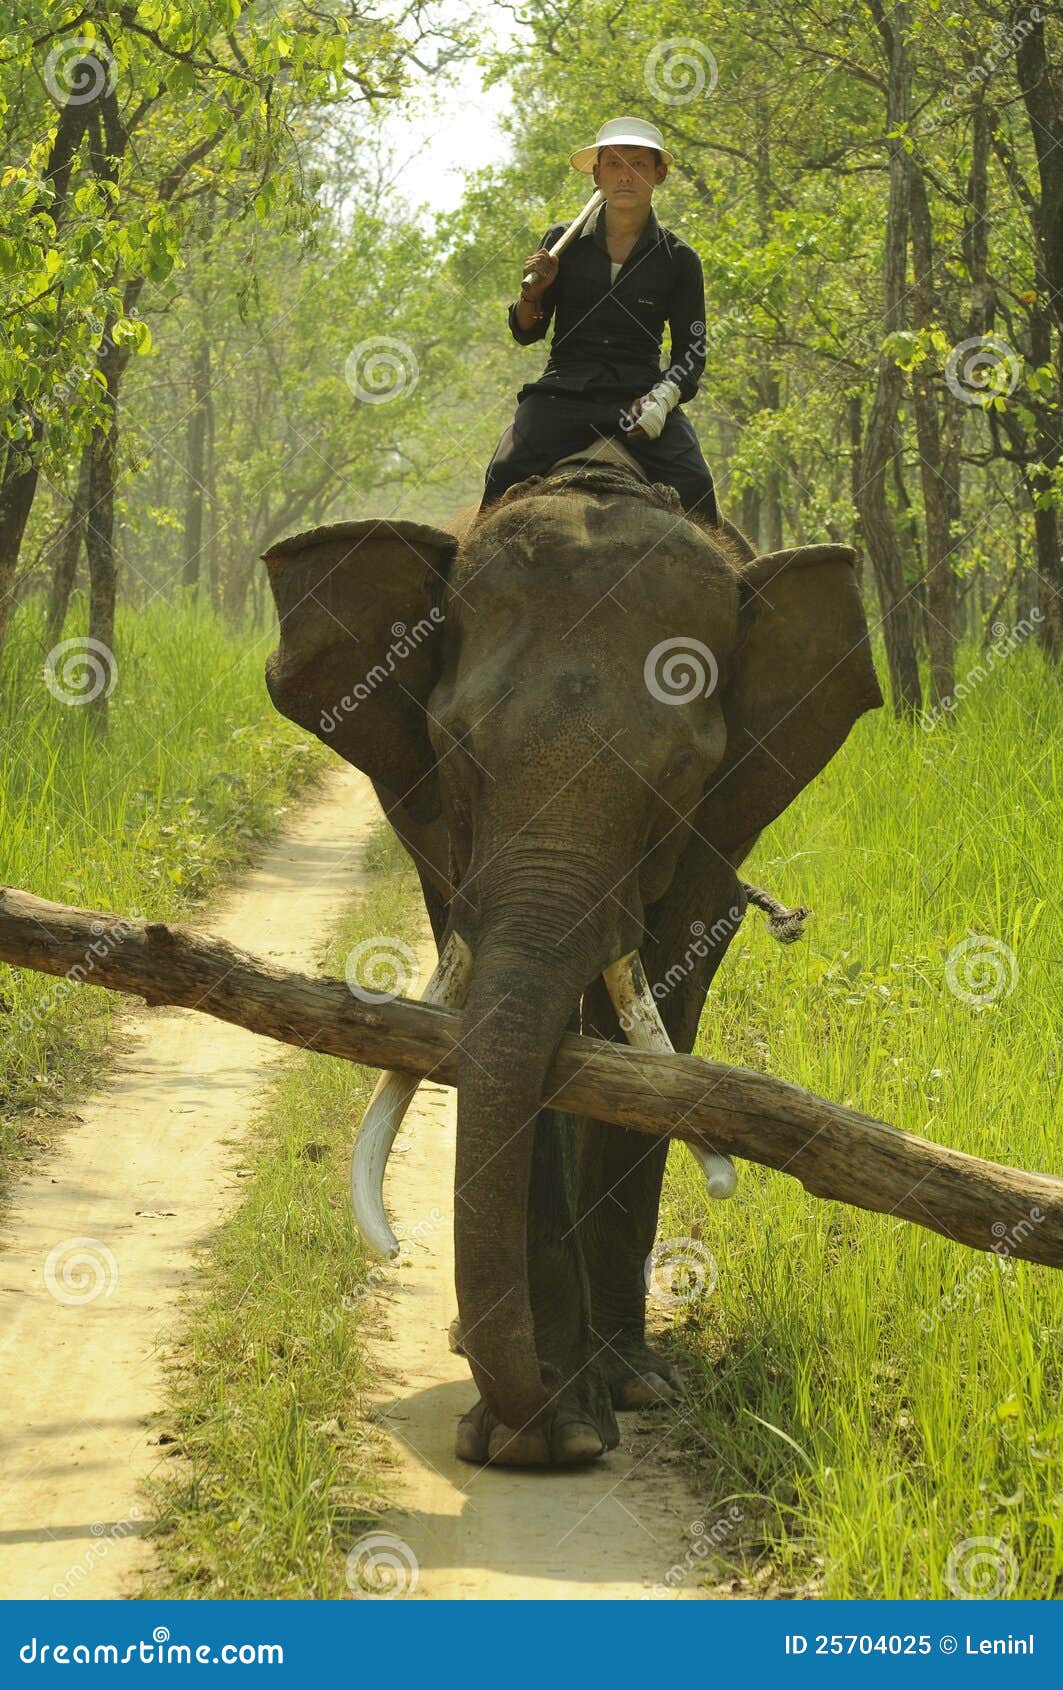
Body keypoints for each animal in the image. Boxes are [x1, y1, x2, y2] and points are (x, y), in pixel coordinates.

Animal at [262, 441, 883, 1470]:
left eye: (679, 773)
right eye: (456, 747)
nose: (390, 1254)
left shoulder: (720, 821)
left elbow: (660, 1001)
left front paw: (613, 1395)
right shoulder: (434, 825)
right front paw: (544, 1438)